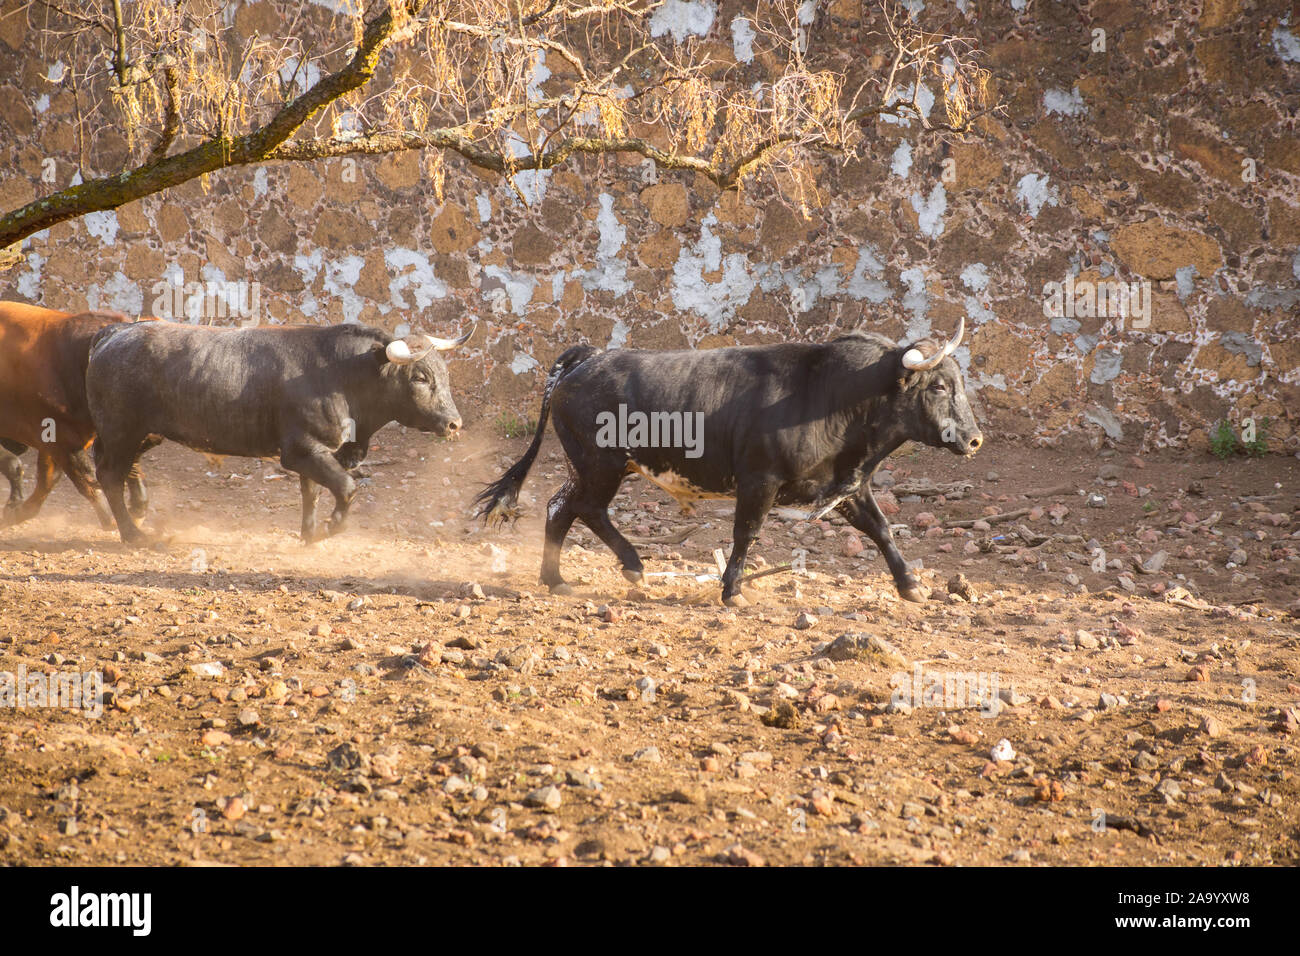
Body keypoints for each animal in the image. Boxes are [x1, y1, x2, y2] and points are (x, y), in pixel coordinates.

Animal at [86, 320, 469, 545]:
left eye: (444, 373)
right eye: (420, 376)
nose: (455, 423)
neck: (341, 374)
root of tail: (112, 335)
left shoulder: (319, 451)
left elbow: (312, 492)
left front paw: (309, 534)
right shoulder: (300, 450)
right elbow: (346, 487)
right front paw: (330, 528)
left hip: (142, 435)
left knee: (121, 470)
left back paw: (137, 514)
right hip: (122, 431)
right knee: (109, 474)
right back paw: (134, 534)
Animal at [475, 320, 981, 606]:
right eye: (938, 386)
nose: (974, 439)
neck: (830, 394)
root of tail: (587, 357)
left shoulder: (849, 486)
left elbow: (881, 529)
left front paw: (910, 585)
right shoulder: (759, 481)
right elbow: (746, 533)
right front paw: (732, 590)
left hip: (587, 467)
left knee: (561, 508)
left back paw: (556, 579)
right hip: (601, 466)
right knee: (586, 509)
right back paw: (631, 565)